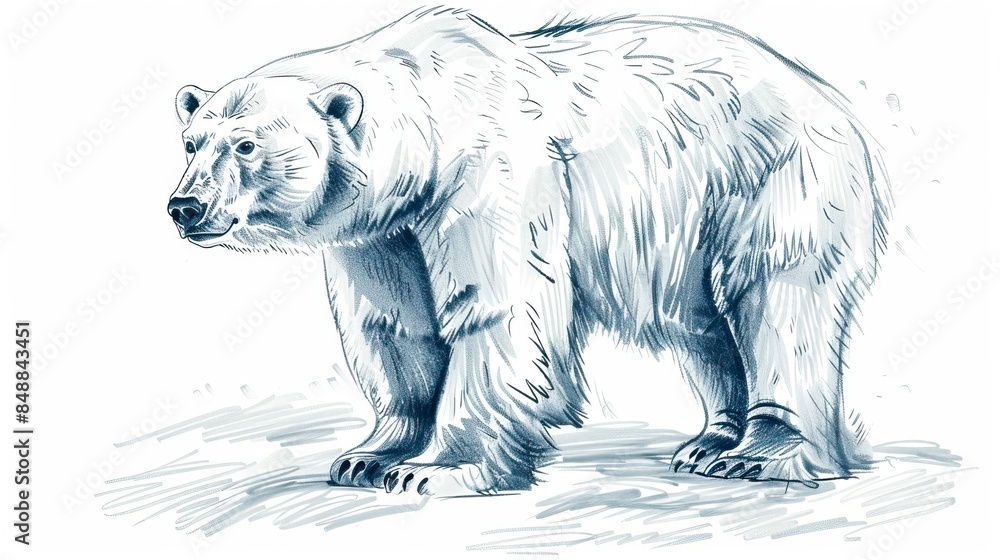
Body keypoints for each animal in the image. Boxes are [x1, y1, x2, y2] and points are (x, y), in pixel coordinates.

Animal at [167, 7, 891, 495]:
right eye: (192, 140)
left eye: (246, 145)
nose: (185, 207)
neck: (430, 130)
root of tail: (830, 100)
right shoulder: (381, 232)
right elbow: (393, 325)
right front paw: (369, 455)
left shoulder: (488, 176)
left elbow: (495, 309)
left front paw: (433, 470)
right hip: (684, 227)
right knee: (698, 322)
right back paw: (708, 441)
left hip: (774, 177)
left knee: (776, 300)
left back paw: (757, 454)